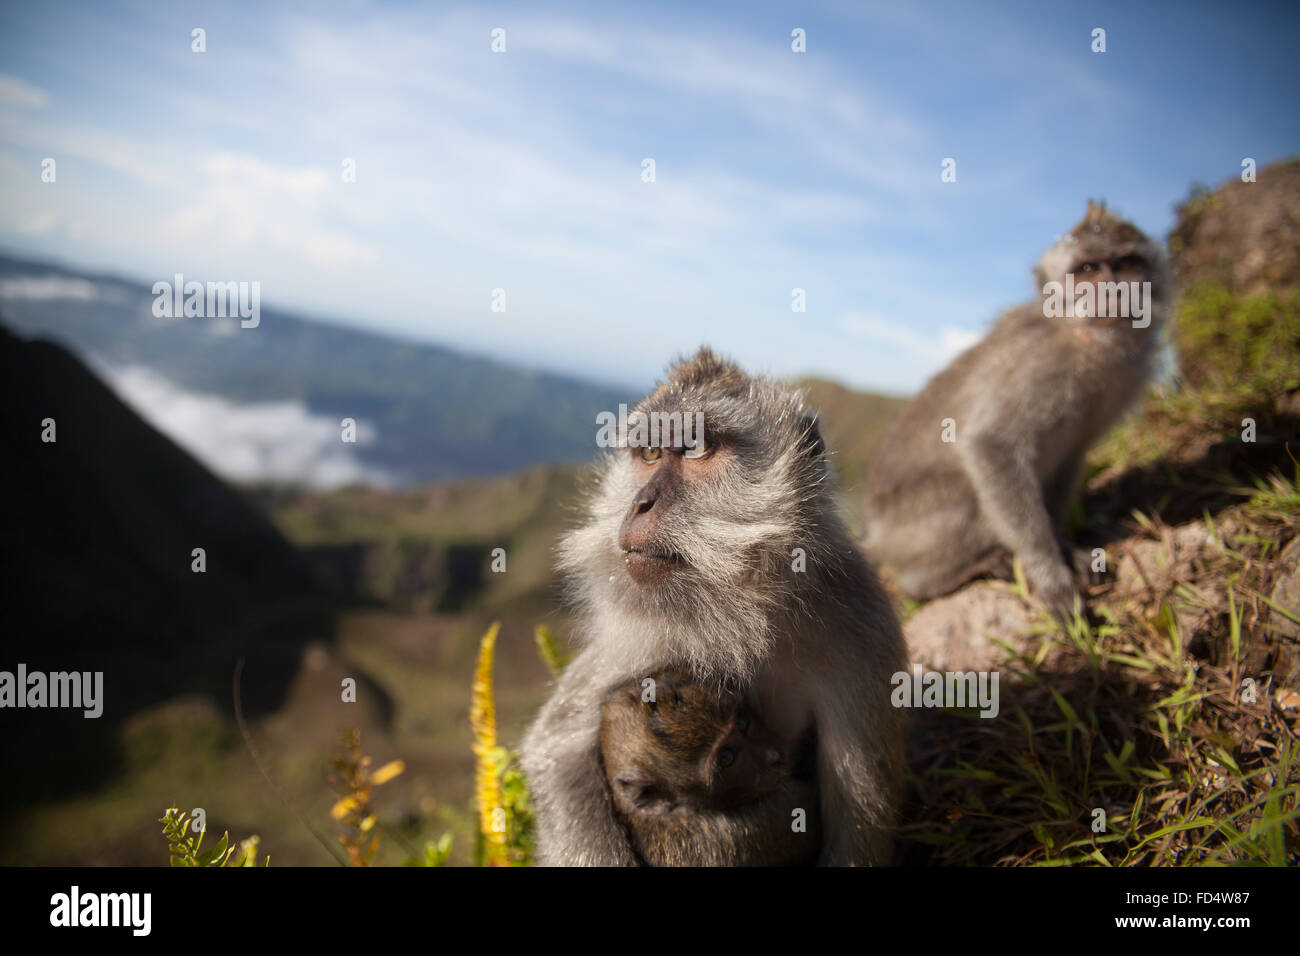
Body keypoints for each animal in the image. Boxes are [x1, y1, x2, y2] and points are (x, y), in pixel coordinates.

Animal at [861, 201, 1171, 617]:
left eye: (1125, 263)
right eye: (1089, 270)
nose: (1117, 291)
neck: (1081, 340)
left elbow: (1070, 458)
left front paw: (1064, 548)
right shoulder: (1037, 364)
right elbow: (990, 445)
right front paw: (1049, 572)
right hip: (908, 532)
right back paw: (933, 581)